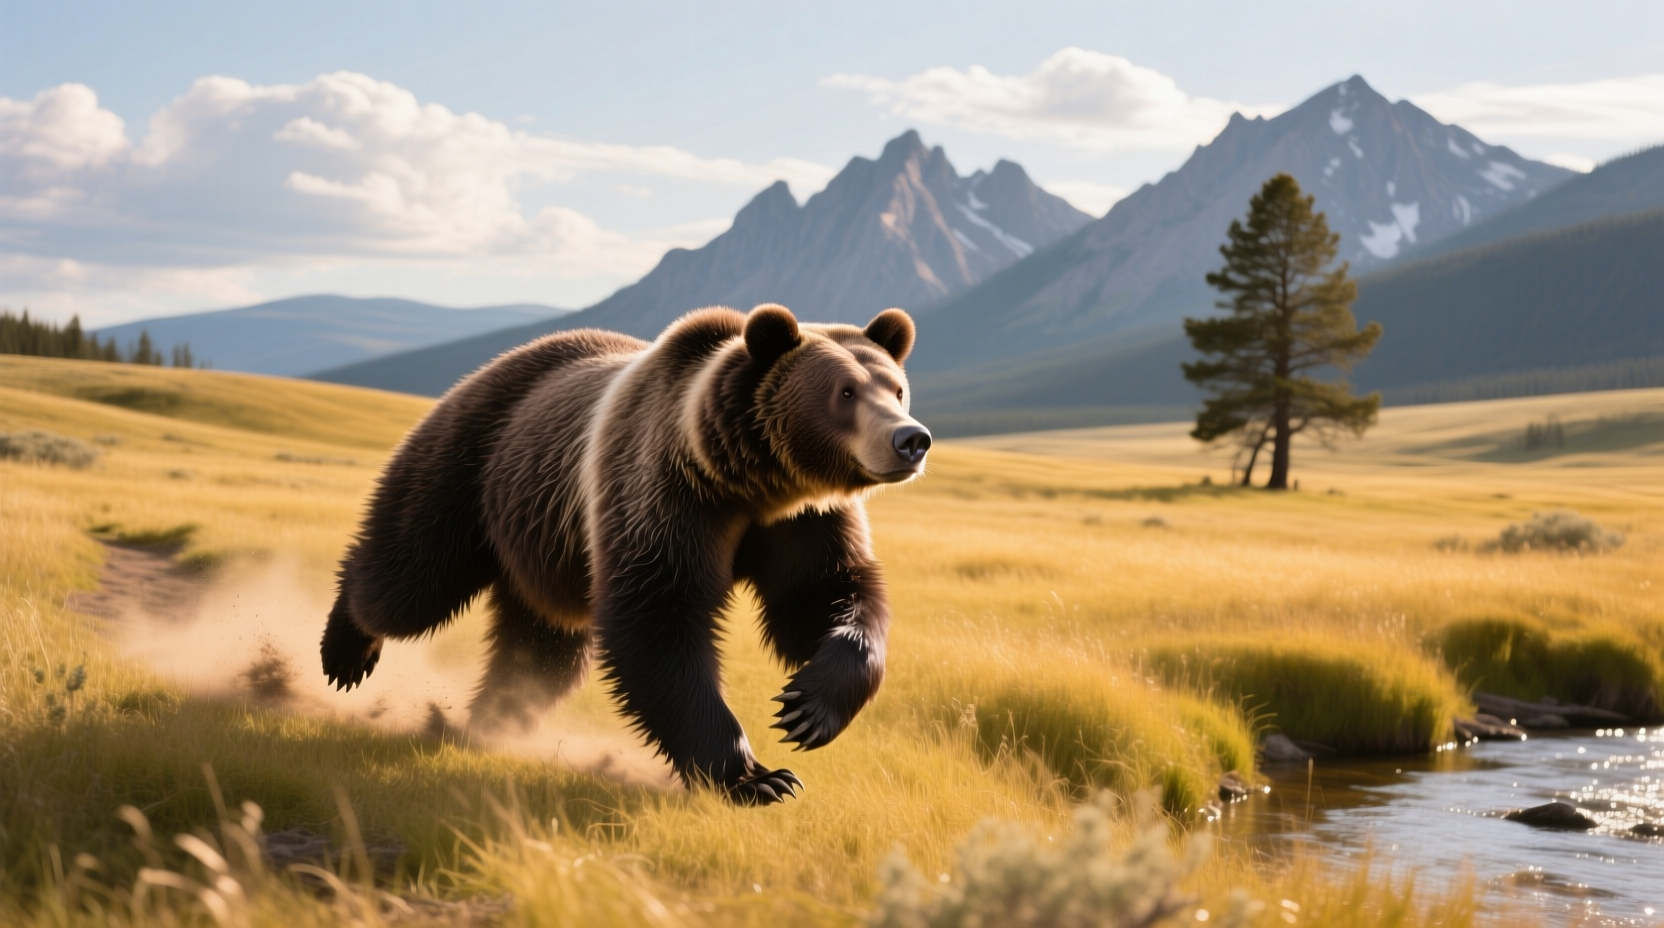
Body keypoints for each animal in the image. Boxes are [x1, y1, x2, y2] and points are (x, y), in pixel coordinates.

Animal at [320, 304, 930, 804]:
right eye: (846, 391)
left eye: (896, 388)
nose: (911, 439)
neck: (750, 482)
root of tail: (495, 363)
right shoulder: (668, 494)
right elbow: (659, 620)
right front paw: (757, 778)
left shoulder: (802, 521)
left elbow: (822, 596)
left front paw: (807, 708)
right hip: (473, 461)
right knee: (411, 576)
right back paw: (347, 650)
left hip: (549, 549)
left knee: (542, 651)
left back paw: (486, 720)